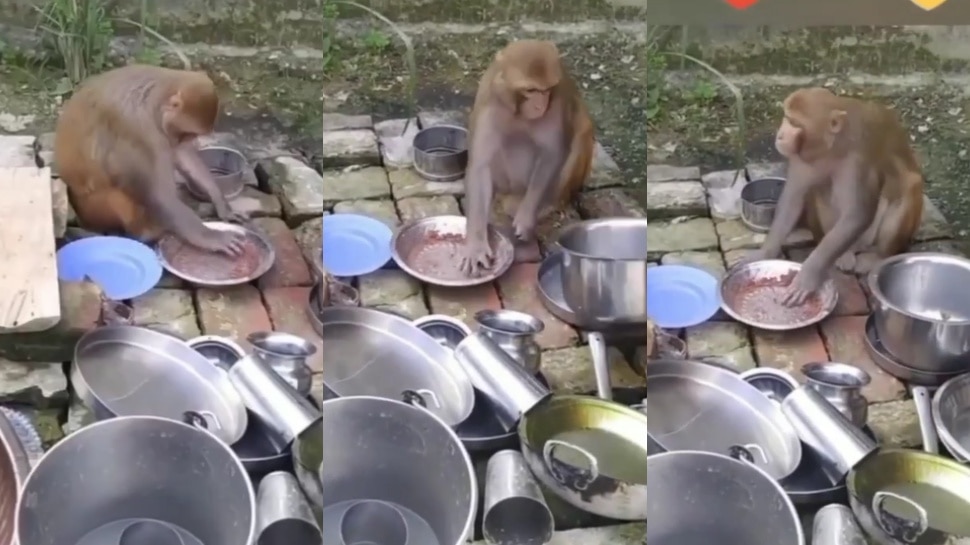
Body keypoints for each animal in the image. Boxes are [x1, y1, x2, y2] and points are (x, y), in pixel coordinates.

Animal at [55, 64, 247, 255]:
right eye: (187, 133)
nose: (184, 140)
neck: (154, 102)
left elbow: (181, 154)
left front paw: (221, 203)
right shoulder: (141, 129)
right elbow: (158, 195)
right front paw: (211, 238)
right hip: (94, 209)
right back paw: (146, 233)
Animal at [459, 40, 595, 276]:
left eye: (547, 90)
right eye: (531, 90)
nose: (540, 105)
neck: (518, 110)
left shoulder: (557, 99)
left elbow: (552, 152)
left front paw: (525, 219)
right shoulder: (489, 100)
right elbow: (480, 166)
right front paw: (476, 246)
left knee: (582, 131)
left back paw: (545, 206)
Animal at [748, 87, 924, 306]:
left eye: (795, 123)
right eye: (786, 117)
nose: (780, 136)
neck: (832, 144)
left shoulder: (857, 158)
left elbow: (857, 214)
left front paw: (808, 275)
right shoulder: (801, 155)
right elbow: (793, 199)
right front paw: (764, 254)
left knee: (909, 186)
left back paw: (878, 256)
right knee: (818, 190)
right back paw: (844, 255)